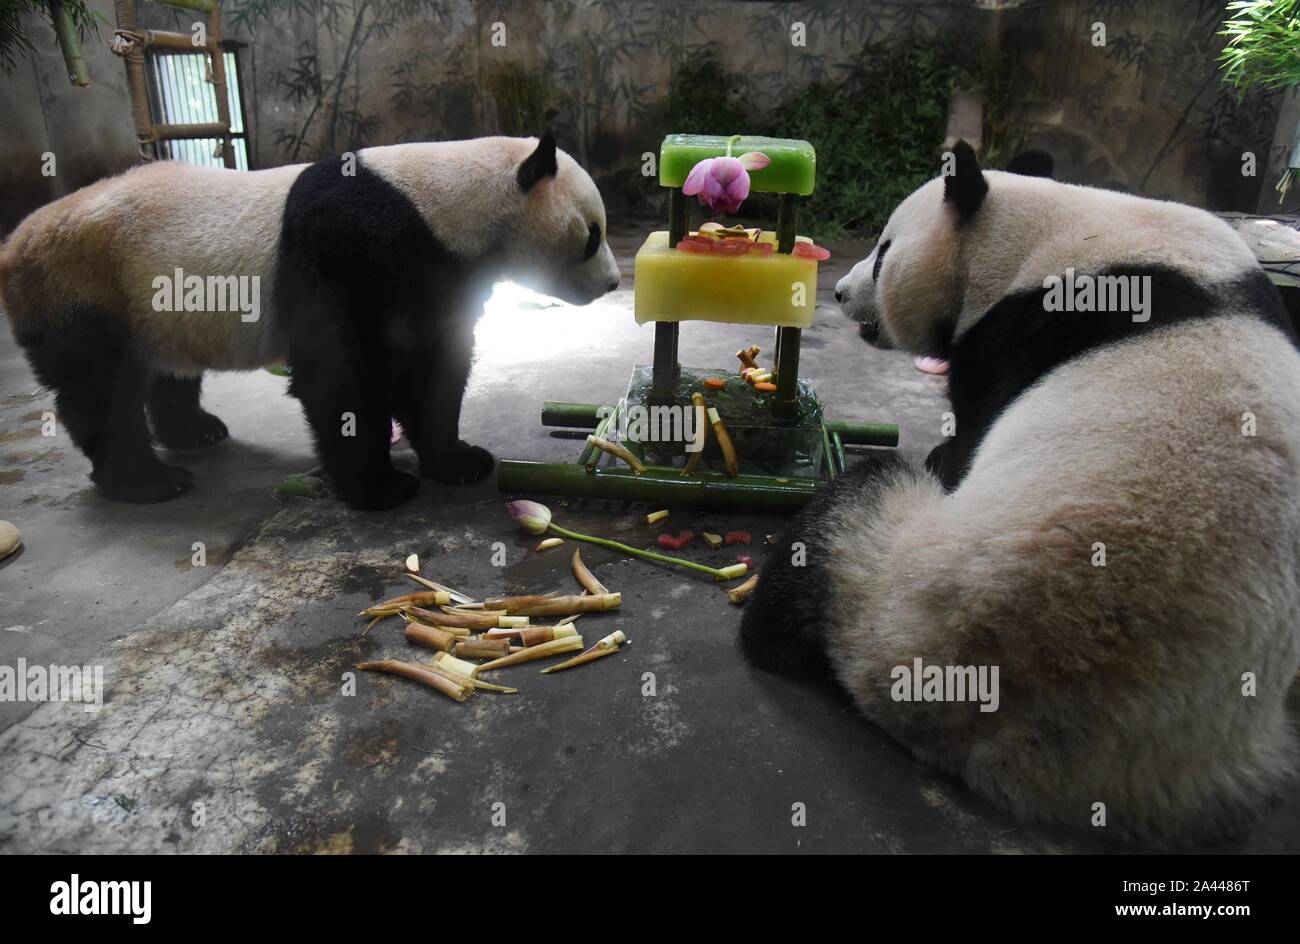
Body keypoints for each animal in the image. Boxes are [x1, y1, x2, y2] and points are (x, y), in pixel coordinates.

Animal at [0, 134, 619, 509]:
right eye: (593, 234)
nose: (614, 283)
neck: (446, 200)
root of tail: (15, 242)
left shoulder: (436, 270)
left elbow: (434, 366)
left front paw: (459, 460)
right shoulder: (352, 246)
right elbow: (340, 373)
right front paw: (380, 488)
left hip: (151, 302)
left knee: (166, 371)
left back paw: (196, 432)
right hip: (83, 284)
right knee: (100, 388)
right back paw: (146, 480)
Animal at [740, 141, 1300, 846]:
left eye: (884, 250)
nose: (839, 292)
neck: (1044, 236)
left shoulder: (1018, 332)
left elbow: (975, 423)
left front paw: (945, 454)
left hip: (899, 593)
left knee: (841, 528)